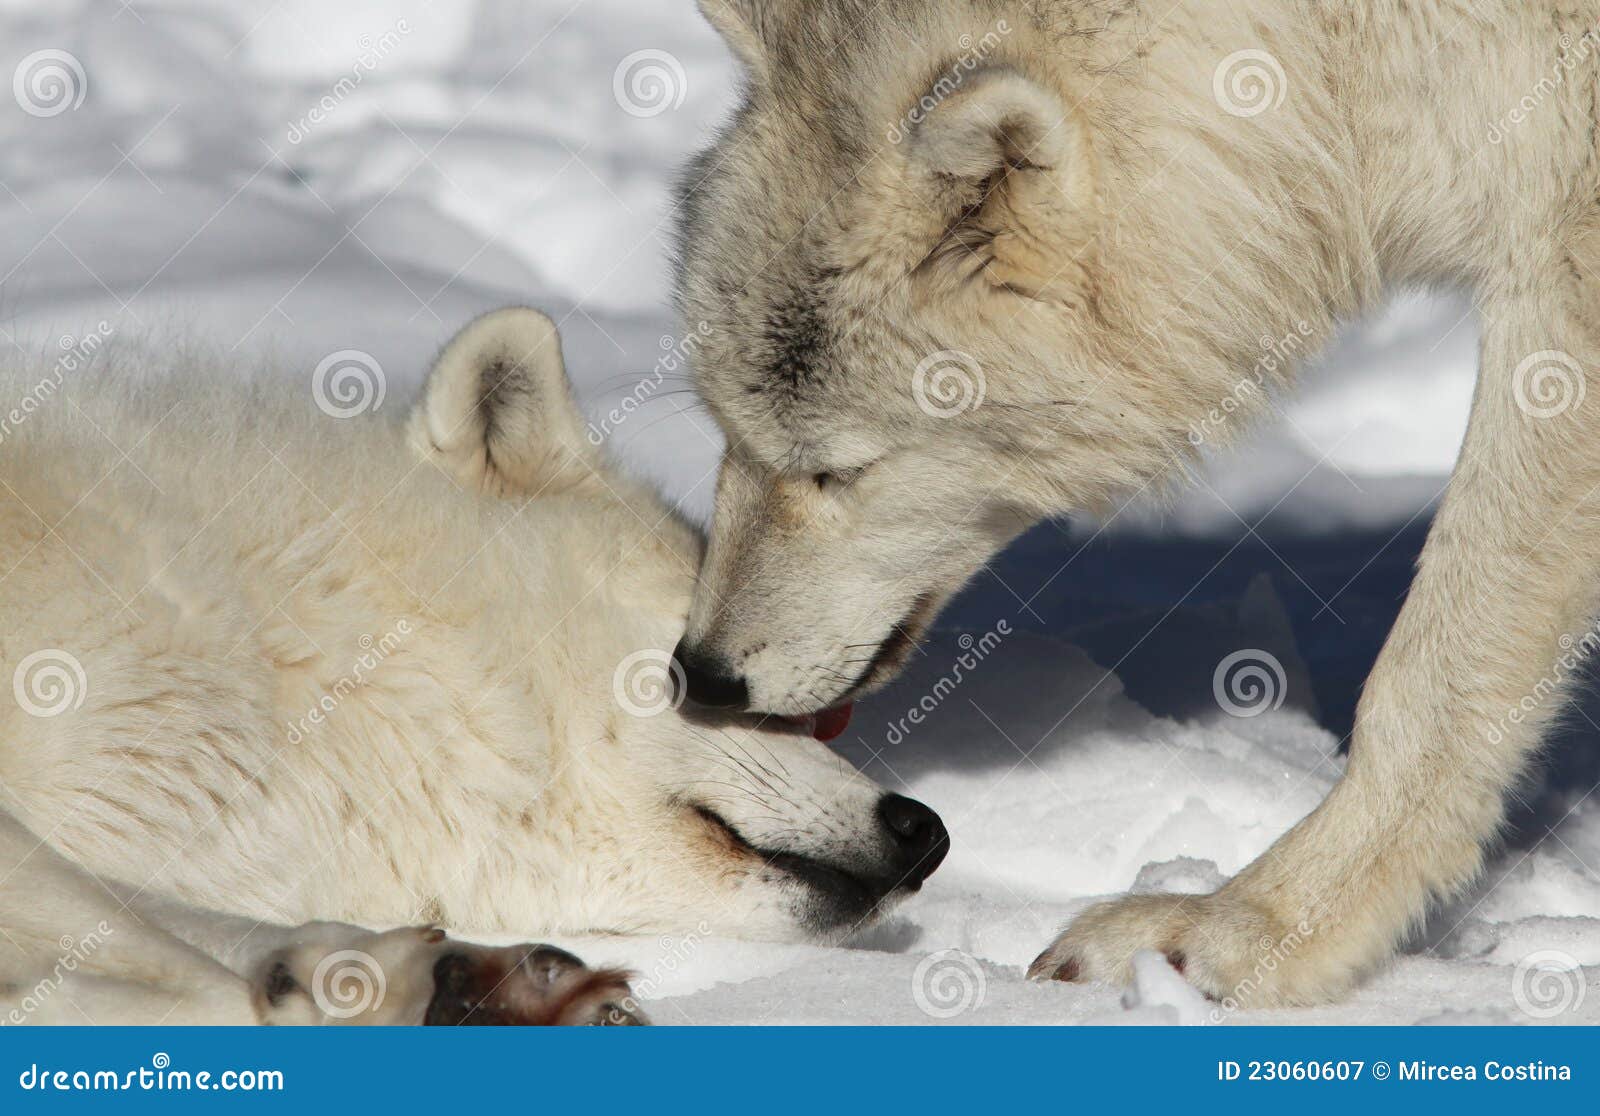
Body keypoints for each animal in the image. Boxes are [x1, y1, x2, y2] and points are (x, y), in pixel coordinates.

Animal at [672, 0, 1600, 1005]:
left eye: (833, 470)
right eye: (726, 430)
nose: (699, 676)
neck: (1347, 48)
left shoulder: (1563, 278)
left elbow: (1424, 686)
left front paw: (1247, 933)